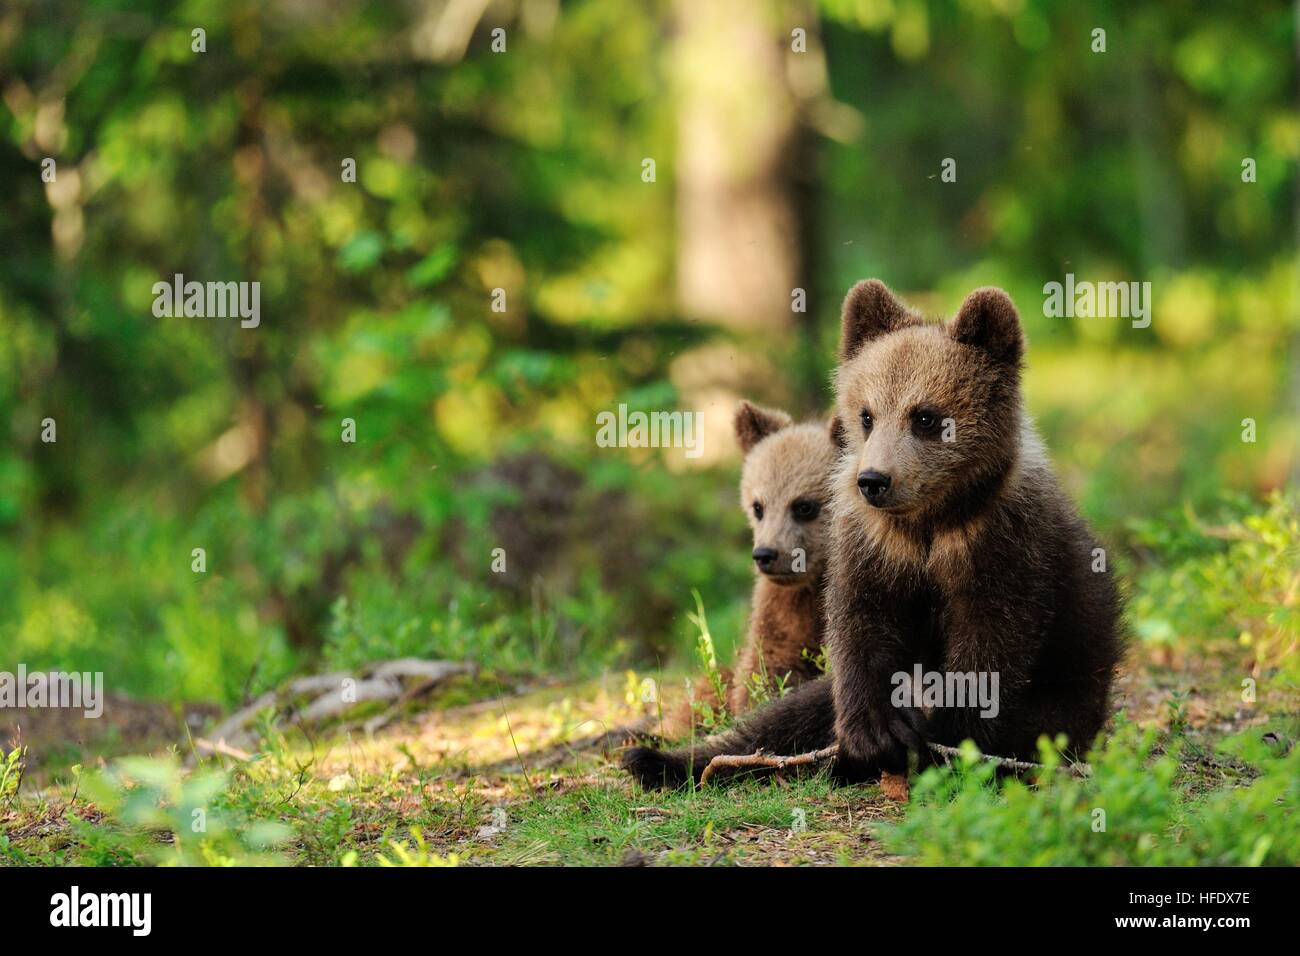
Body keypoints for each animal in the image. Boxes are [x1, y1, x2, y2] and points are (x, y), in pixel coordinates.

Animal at [660, 401, 838, 737]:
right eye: (758, 506)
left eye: (804, 505)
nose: (766, 554)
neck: (813, 584)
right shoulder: (781, 608)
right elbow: (765, 664)